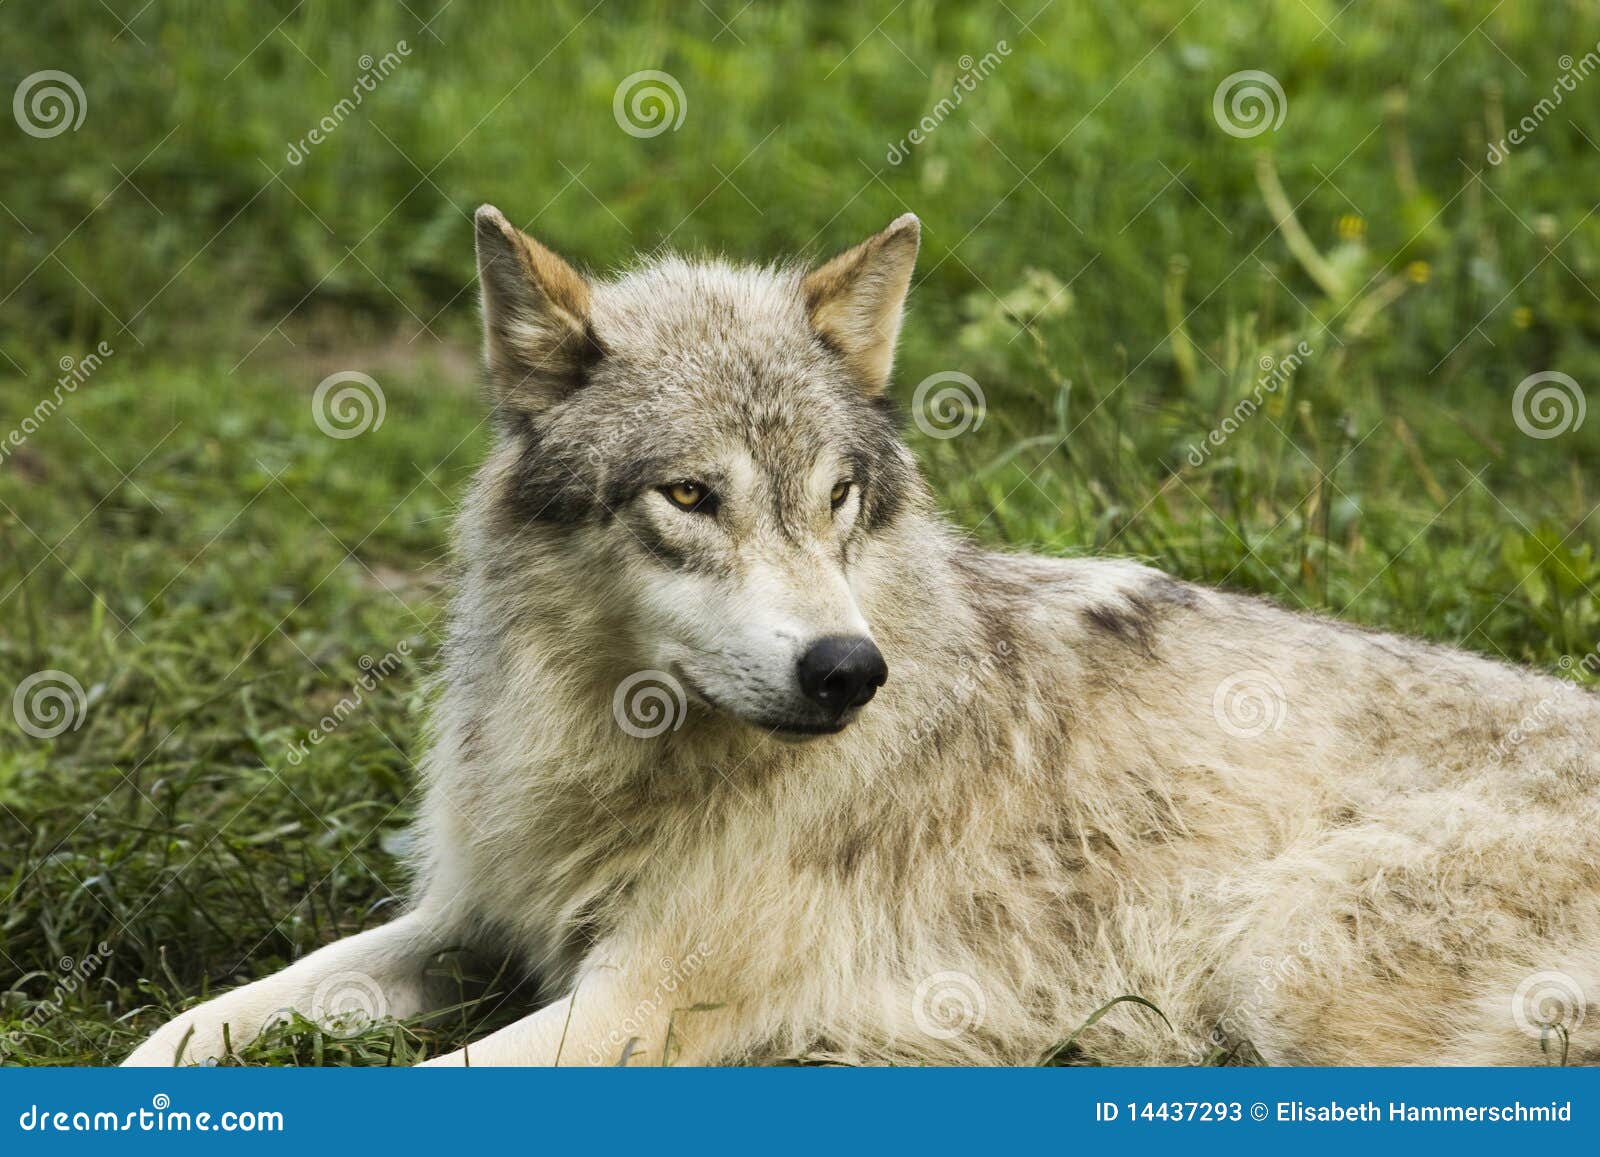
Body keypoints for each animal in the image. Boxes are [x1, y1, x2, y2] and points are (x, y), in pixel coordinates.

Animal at [126, 206, 1600, 1067]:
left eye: (836, 494)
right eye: (690, 495)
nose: (849, 670)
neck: (617, 749)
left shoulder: (629, 1007)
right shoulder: (469, 919)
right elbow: (188, 1026)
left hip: (1287, 974)